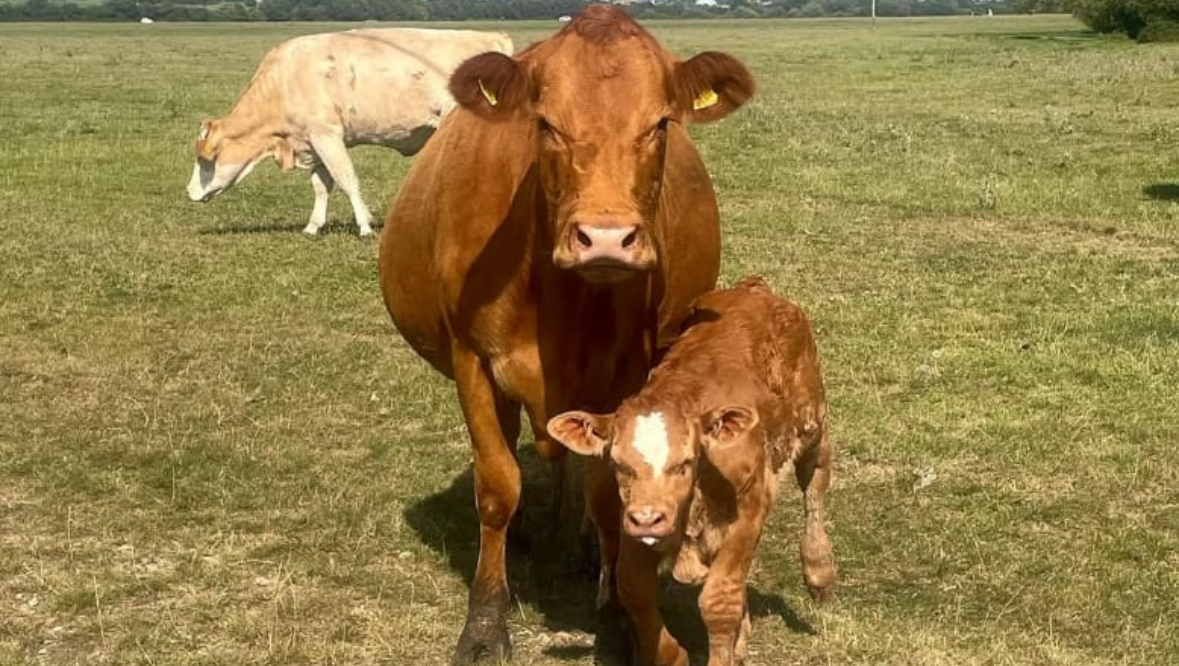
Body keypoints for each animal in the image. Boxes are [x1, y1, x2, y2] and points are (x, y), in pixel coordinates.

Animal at [186, 28, 514, 236]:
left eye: (204, 161)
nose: (189, 192)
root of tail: (493, 38)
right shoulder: (314, 141)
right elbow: (321, 185)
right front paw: (313, 226)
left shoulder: (327, 137)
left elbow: (346, 180)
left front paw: (365, 226)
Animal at [377, 5, 754, 663]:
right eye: (546, 124)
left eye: (659, 123)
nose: (606, 238)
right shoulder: (473, 361)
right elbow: (497, 484)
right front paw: (485, 620)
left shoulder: (627, 370)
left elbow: (609, 490)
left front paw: (616, 617)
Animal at [546, 277, 836, 666]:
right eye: (619, 464)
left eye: (684, 463)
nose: (648, 518)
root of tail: (753, 288)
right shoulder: (633, 521)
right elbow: (634, 589)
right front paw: (673, 653)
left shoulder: (749, 509)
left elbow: (719, 601)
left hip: (811, 424)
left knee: (815, 481)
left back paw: (819, 569)